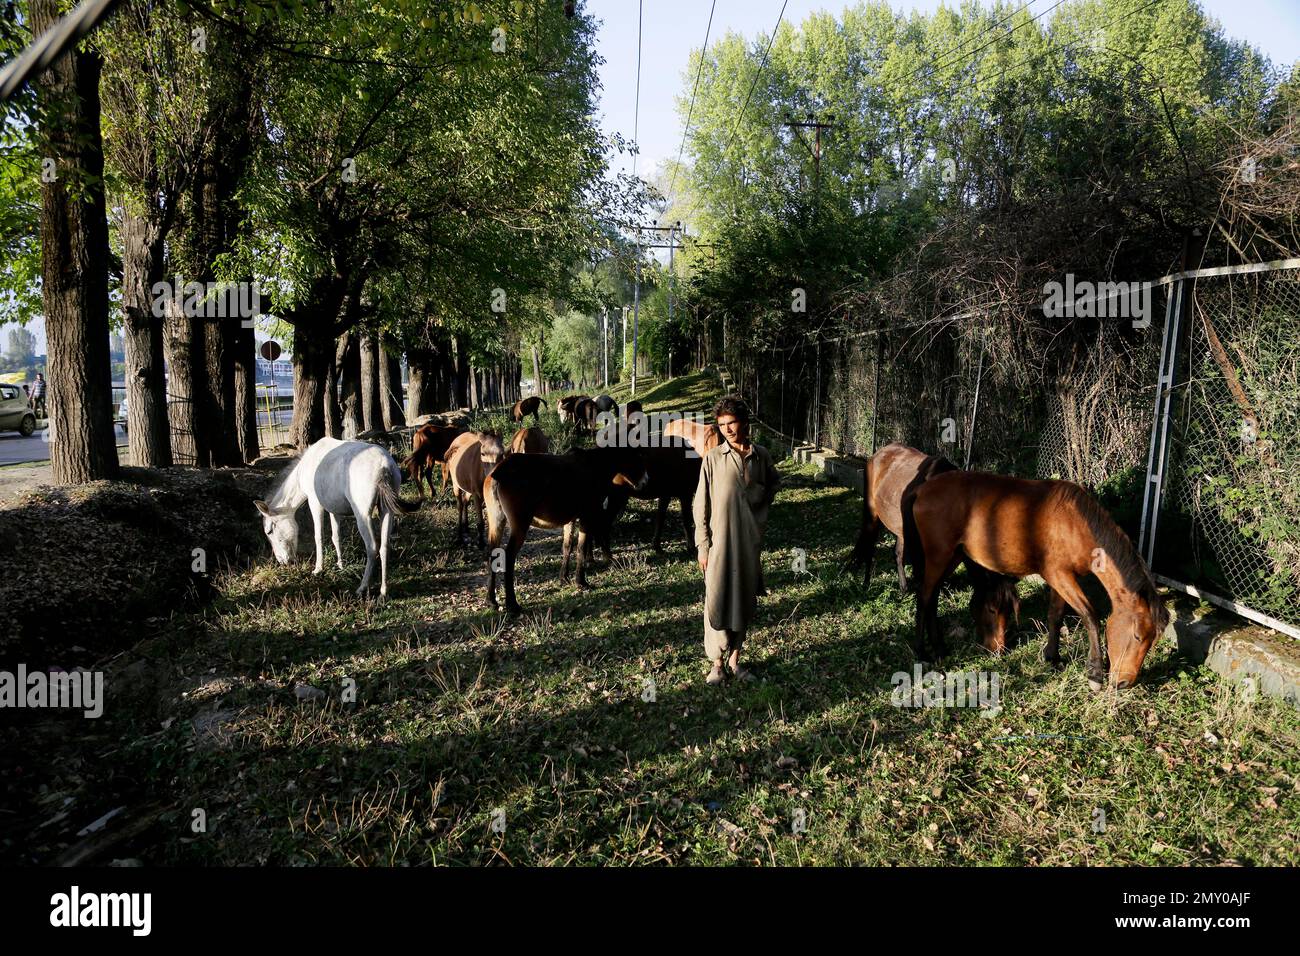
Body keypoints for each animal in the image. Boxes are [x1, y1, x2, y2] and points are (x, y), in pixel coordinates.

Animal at [254, 437, 419, 602]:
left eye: (269, 531)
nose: (282, 561)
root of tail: (384, 466)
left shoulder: (315, 503)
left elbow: (318, 536)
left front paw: (318, 569)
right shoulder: (334, 509)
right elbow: (336, 536)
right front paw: (340, 565)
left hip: (363, 514)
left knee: (372, 547)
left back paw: (362, 587)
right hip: (386, 510)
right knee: (384, 546)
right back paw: (383, 592)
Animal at [484, 446, 649, 614]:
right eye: (638, 457)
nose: (645, 481)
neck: (594, 465)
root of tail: (498, 473)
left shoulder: (570, 519)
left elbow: (567, 546)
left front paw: (564, 578)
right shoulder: (586, 516)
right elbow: (581, 547)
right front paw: (581, 582)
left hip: (496, 522)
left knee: (493, 554)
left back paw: (491, 601)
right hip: (520, 525)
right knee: (509, 557)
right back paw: (512, 605)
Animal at [908, 471, 1169, 688]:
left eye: (1152, 641)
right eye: (1137, 636)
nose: (1125, 682)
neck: (1075, 523)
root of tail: (923, 489)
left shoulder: (1060, 578)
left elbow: (1055, 615)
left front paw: (1052, 657)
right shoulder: (1059, 576)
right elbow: (1090, 616)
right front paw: (1095, 674)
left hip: (953, 556)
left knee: (933, 597)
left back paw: (939, 648)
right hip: (939, 556)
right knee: (925, 596)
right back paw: (922, 651)